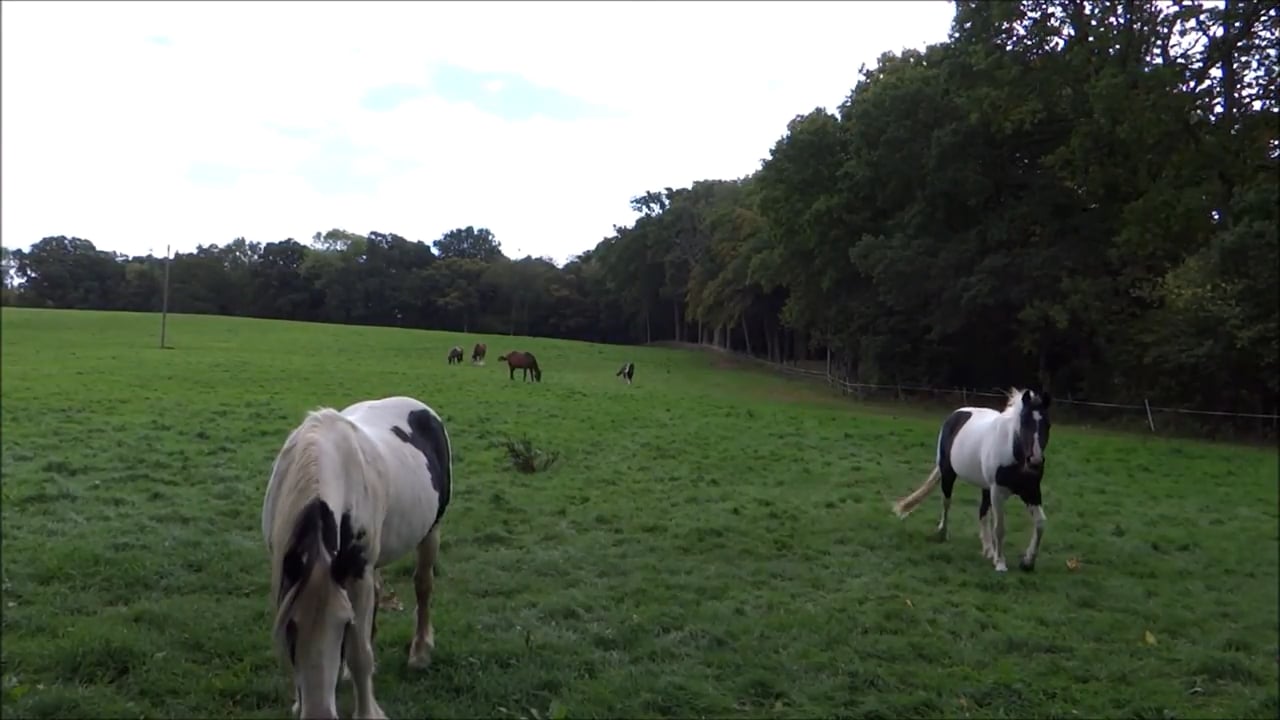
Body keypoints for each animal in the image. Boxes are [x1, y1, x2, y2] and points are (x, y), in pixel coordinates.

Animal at [261, 395, 453, 719]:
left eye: (343, 624)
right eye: (290, 628)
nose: (318, 715)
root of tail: (421, 406)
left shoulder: (357, 574)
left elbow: (359, 652)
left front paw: (367, 712)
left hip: (431, 531)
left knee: (423, 587)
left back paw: (420, 652)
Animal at [890, 387, 1052, 573]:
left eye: (1047, 425)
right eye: (1024, 423)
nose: (1035, 461)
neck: (1013, 453)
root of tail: (956, 414)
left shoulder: (1031, 491)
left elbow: (1040, 524)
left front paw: (1027, 562)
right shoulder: (997, 492)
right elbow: (1000, 528)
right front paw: (1000, 564)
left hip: (985, 487)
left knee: (982, 512)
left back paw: (988, 550)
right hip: (949, 474)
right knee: (946, 503)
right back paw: (943, 534)